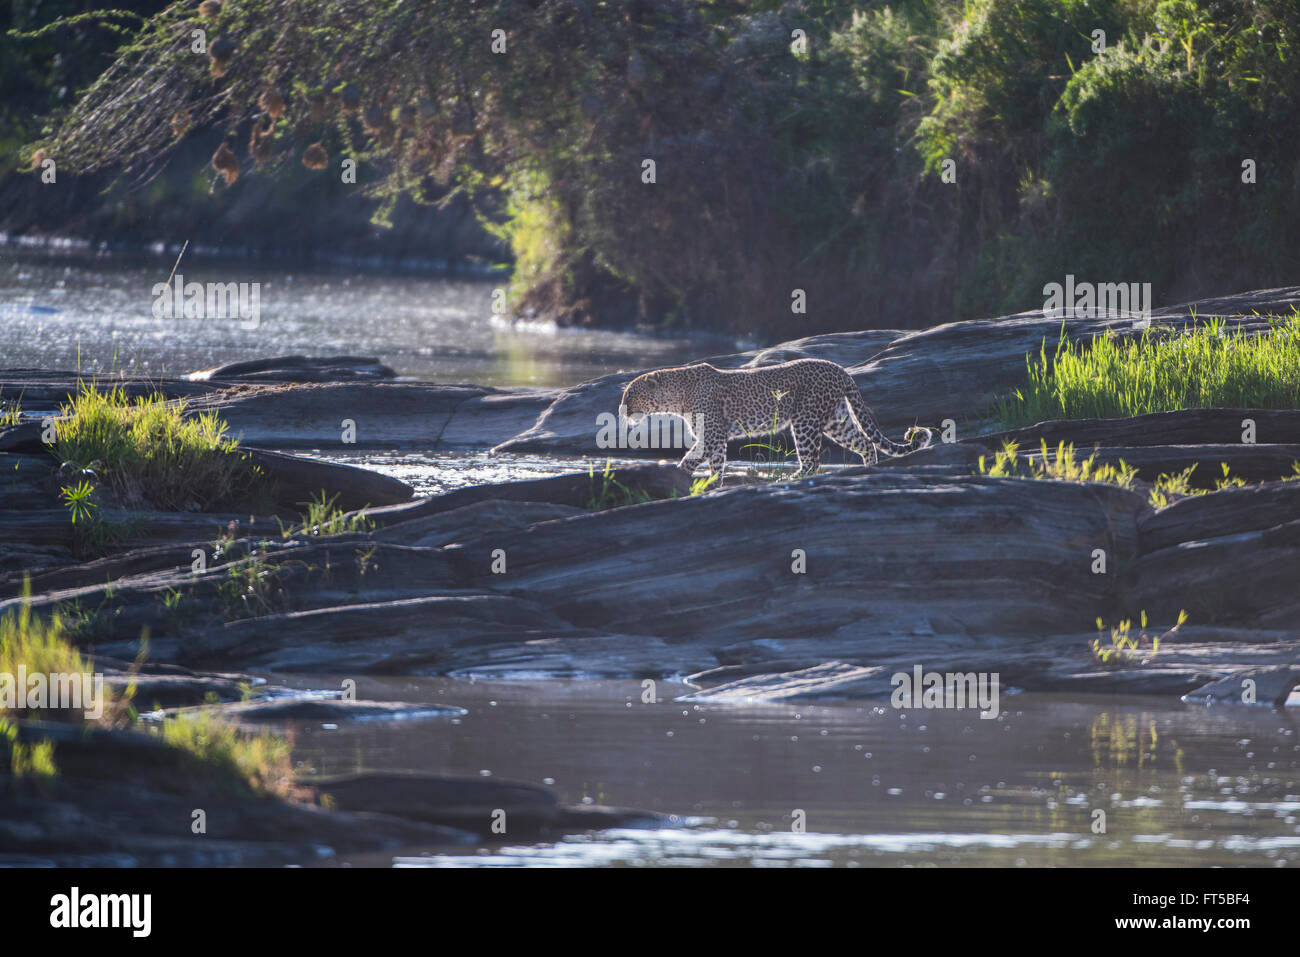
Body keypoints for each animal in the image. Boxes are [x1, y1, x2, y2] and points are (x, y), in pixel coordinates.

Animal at [620, 357, 931, 484]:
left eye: (630, 394)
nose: (621, 410)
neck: (677, 397)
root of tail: (840, 369)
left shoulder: (712, 435)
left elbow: (692, 458)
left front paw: (678, 475)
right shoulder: (716, 440)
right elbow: (716, 464)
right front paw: (711, 484)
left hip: (805, 421)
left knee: (812, 461)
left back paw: (792, 477)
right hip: (836, 420)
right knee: (865, 443)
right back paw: (868, 470)